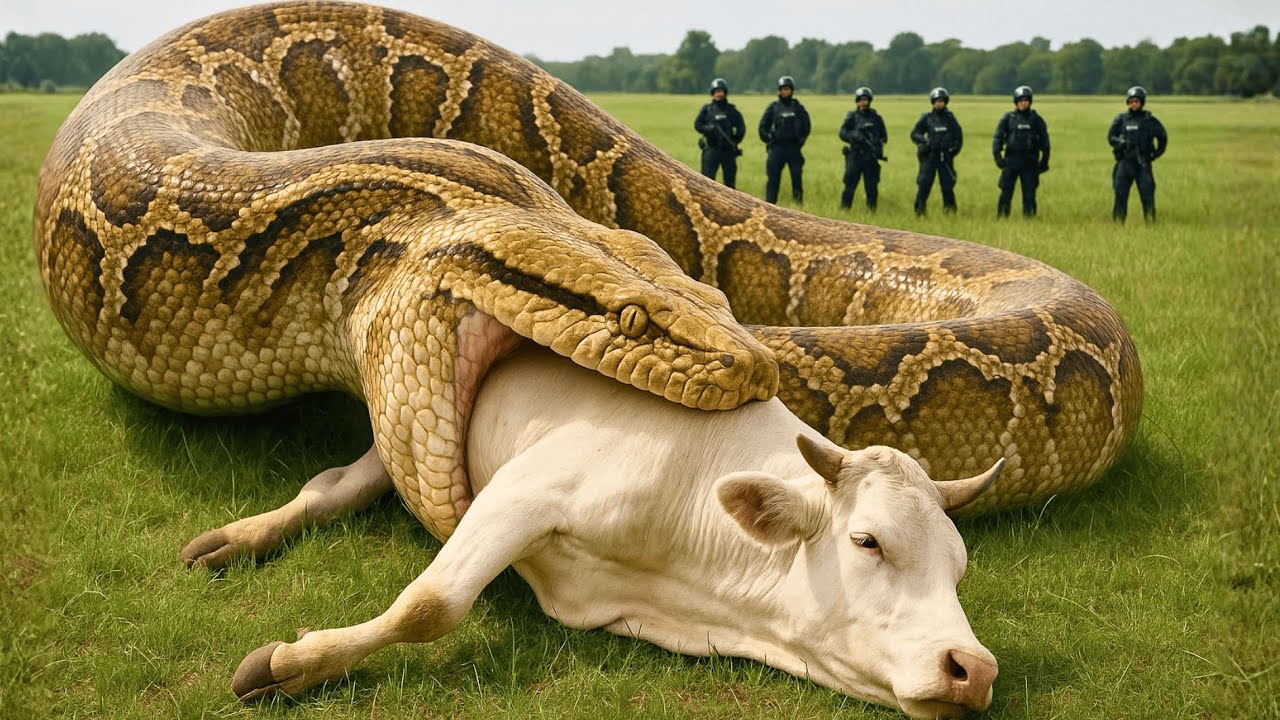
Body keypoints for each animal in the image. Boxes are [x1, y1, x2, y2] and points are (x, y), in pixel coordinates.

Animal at [200, 346, 1003, 718]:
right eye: (868, 541)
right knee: (336, 484)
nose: (974, 668)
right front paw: (293, 663)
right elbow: (431, 605)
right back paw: (238, 538)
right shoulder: (522, 488)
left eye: (960, 569)